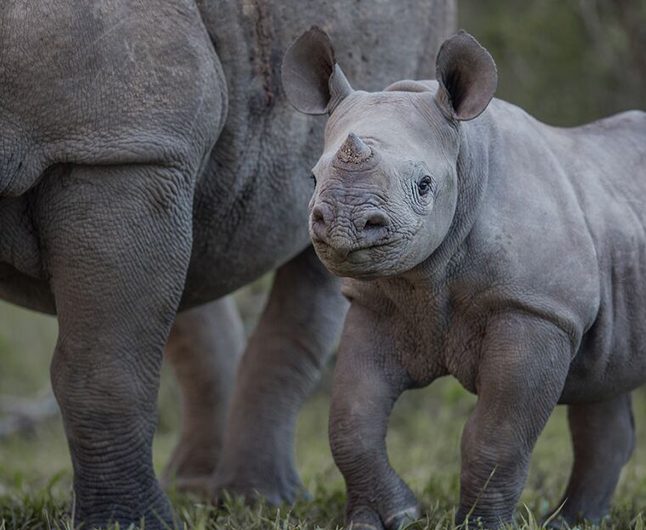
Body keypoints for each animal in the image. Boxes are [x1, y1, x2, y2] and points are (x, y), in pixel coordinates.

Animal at [0, 1, 455, 528]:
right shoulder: (133, 142)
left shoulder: (120, 147)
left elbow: (104, 364)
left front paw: (128, 523)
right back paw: (196, 489)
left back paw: (256, 500)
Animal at [282, 28, 646, 529]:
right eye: (313, 177)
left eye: (424, 185)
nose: (343, 225)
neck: (465, 153)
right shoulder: (376, 302)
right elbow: (351, 417)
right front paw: (393, 516)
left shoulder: (537, 308)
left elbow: (497, 433)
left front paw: (480, 524)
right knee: (603, 386)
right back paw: (574, 522)